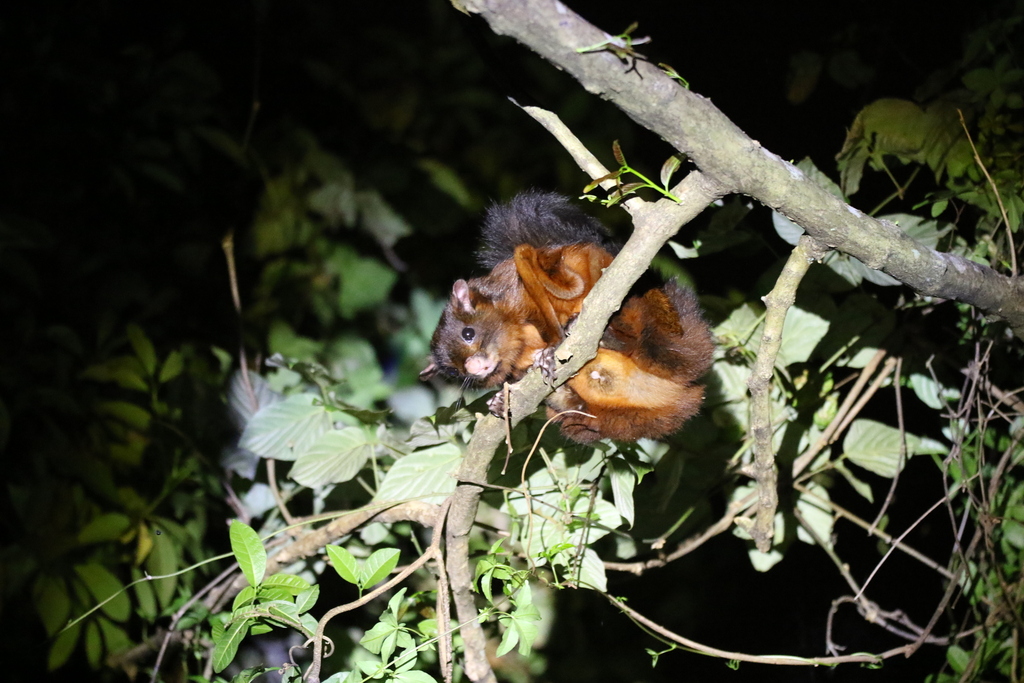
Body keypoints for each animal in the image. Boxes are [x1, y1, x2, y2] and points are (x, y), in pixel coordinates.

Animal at [419, 190, 714, 443]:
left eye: (468, 333)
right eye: (453, 371)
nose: (472, 368)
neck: (518, 344)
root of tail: (685, 391)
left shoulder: (518, 292)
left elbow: (543, 314)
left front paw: (549, 352)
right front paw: (500, 400)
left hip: (645, 310)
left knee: (638, 334)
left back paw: (610, 337)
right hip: (621, 421)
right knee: (587, 418)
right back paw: (563, 398)